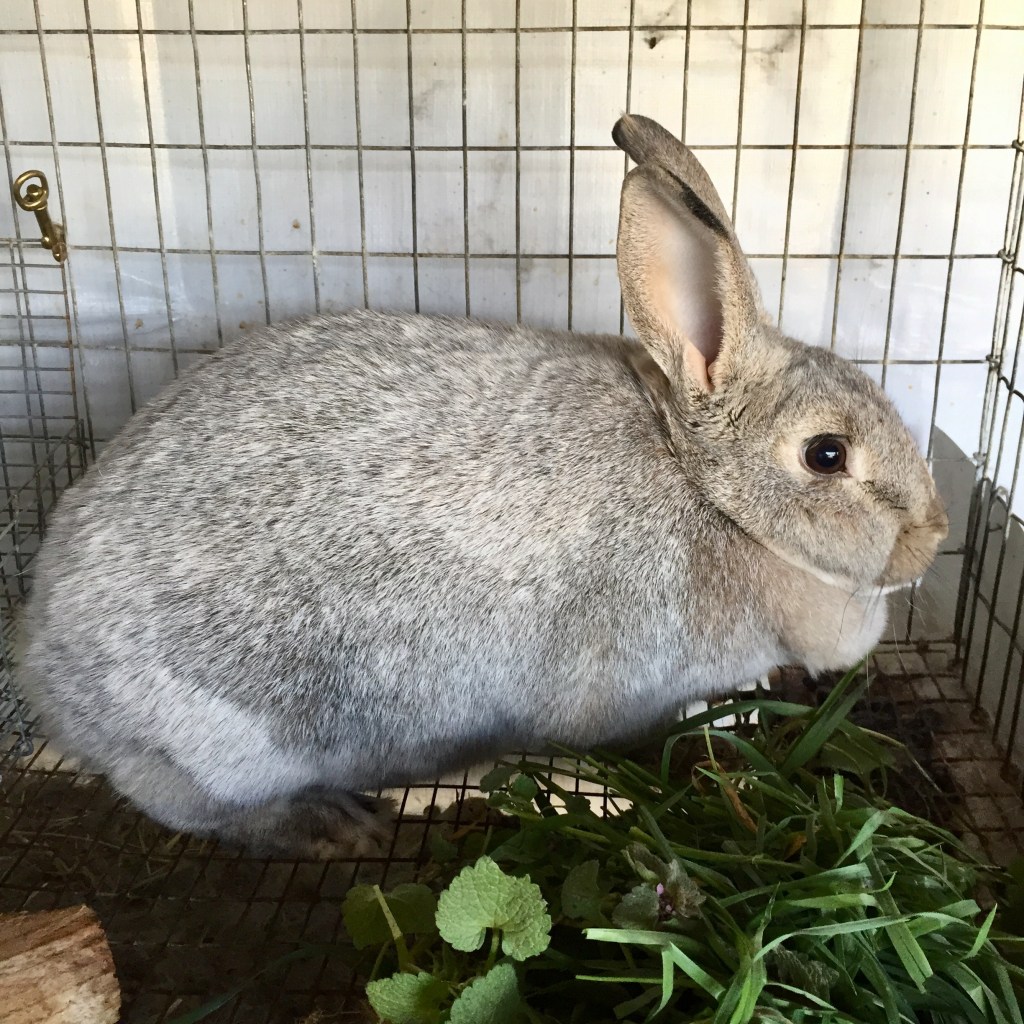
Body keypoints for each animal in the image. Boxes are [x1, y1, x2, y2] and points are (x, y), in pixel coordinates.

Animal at [16, 114, 948, 858]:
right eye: (826, 454)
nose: (933, 535)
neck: (705, 491)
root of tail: (49, 680)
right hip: (218, 742)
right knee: (186, 805)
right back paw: (332, 824)